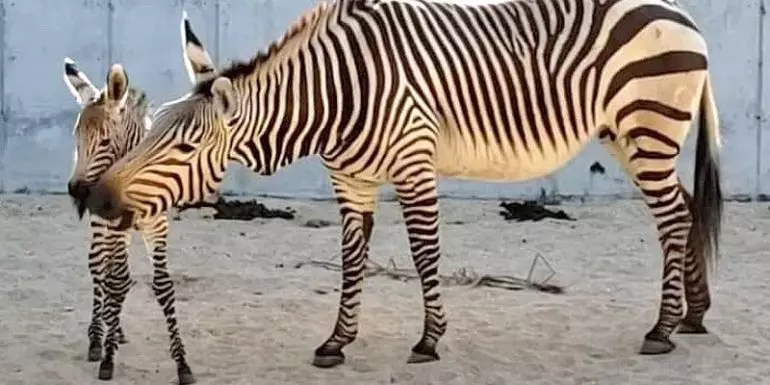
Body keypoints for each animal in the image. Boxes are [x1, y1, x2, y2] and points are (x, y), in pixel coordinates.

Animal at [63, 57, 195, 384]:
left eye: (105, 140)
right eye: (76, 139)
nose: (76, 191)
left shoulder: (158, 226)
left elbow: (162, 285)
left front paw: (182, 363)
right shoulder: (112, 226)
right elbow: (116, 280)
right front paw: (107, 356)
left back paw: (116, 329)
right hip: (103, 227)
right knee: (100, 268)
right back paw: (98, 337)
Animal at [84, 0, 720, 368]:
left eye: (184, 148)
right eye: (150, 130)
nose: (98, 199)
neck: (334, 95)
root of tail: (681, 12)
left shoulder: (414, 163)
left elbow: (423, 252)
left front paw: (430, 340)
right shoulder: (350, 178)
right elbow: (351, 258)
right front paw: (337, 342)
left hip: (649, 124)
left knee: (672, 216)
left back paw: (663, 328)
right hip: (626, 134)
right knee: (685, 209)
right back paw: (693, 315)